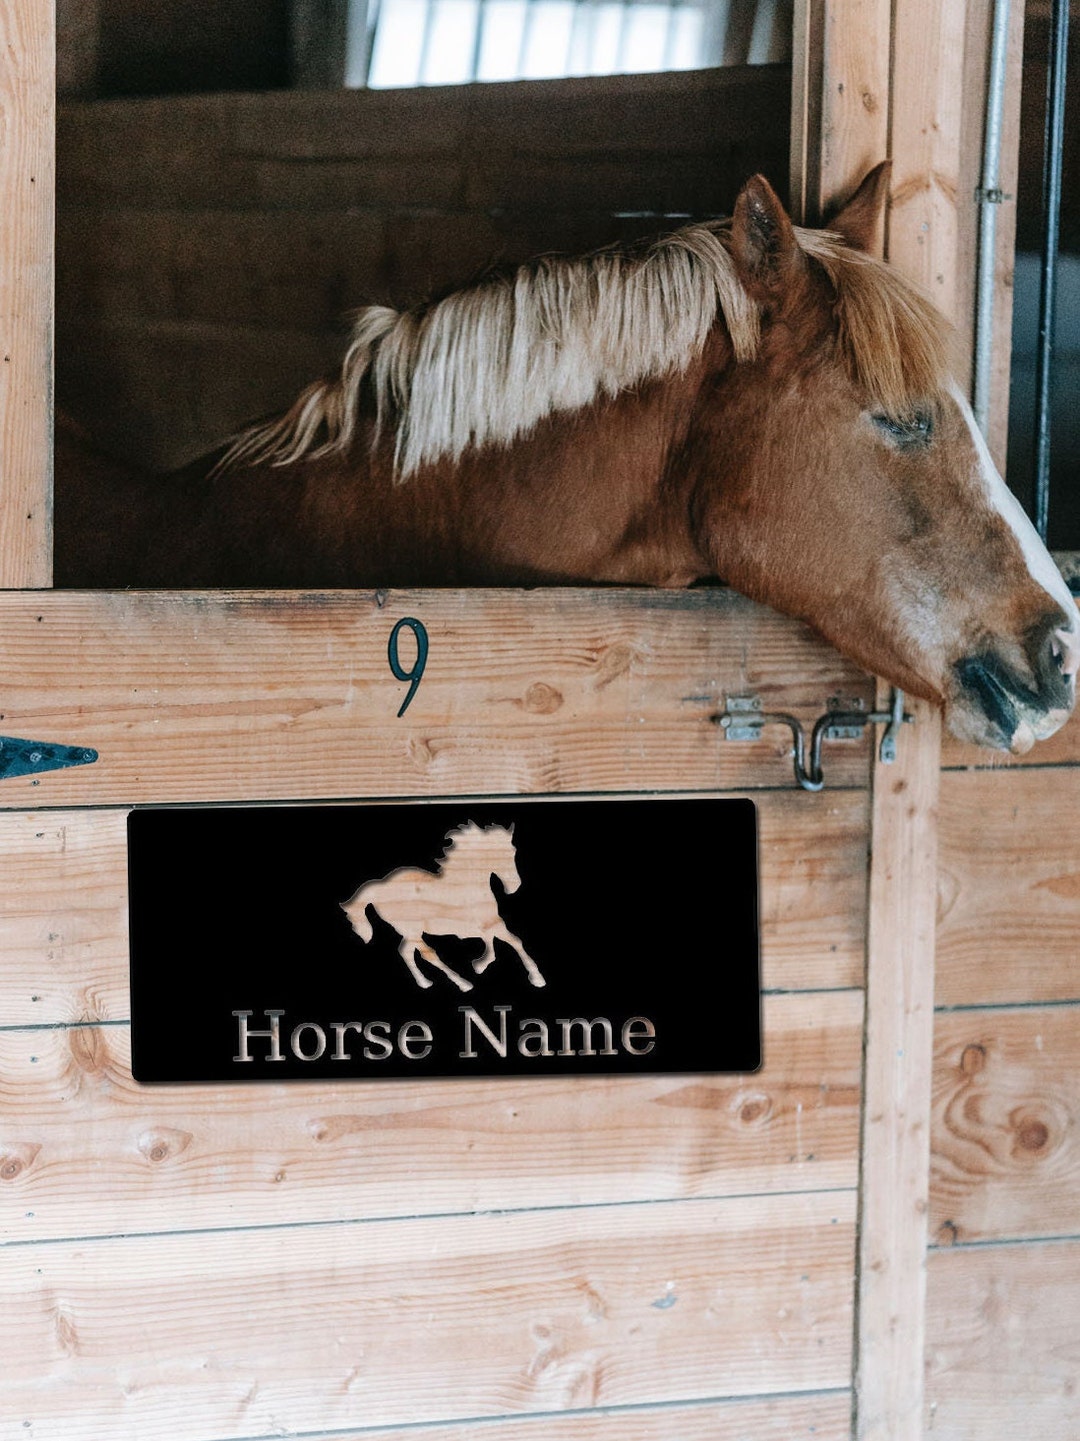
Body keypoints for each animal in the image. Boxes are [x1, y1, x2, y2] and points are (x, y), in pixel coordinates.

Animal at [340, 821, 544, 992]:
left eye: (513, 850)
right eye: (504, 853)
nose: (514, 886)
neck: (467, 885)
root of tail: (381, 887)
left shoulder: (487, 924)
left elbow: (495, 942)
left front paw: (479, 965)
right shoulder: (490, 923)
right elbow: (514, 941)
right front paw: (537, 978)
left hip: (411, 932)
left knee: (406, 951)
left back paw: (424, 982)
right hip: (412, 930)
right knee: (428, 954)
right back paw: (463, 984)